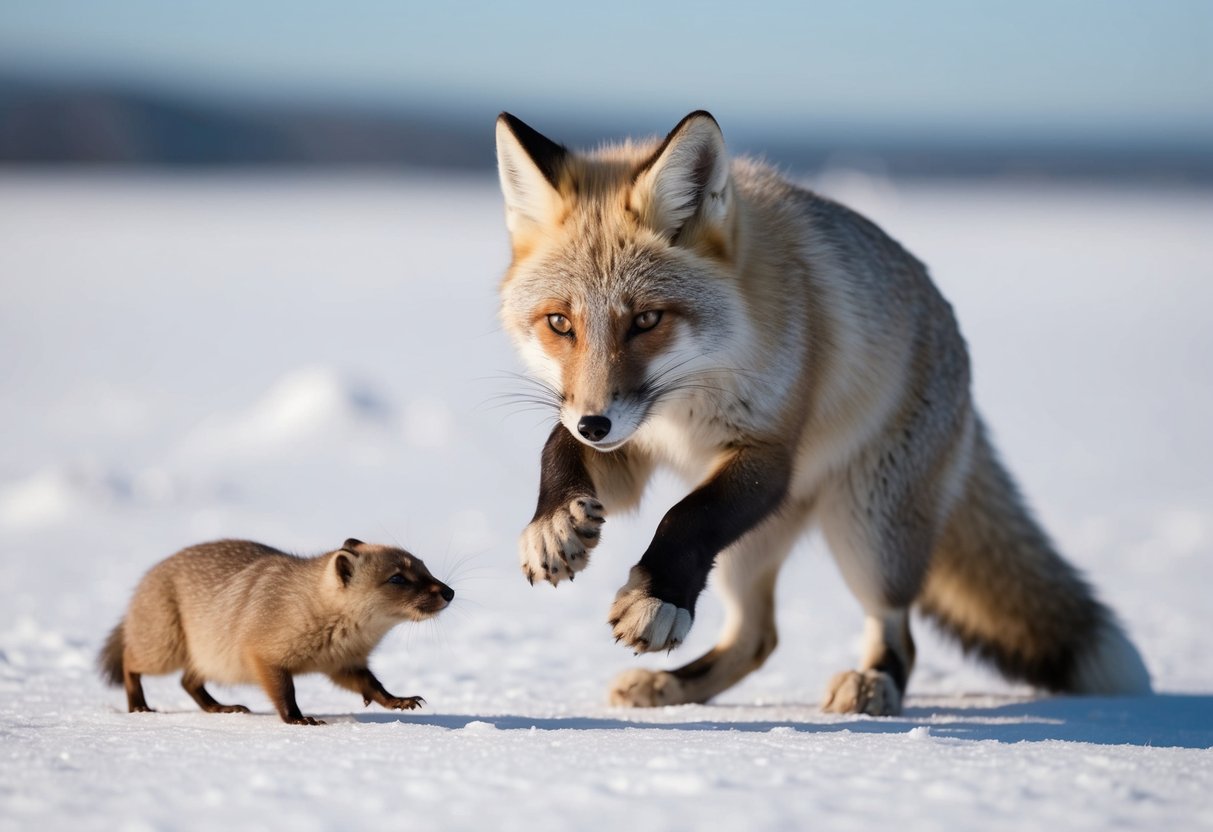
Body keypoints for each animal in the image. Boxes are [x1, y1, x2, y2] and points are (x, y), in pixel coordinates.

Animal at [493, 110, 1152, 714]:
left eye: (648, 320)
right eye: (560, 323)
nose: (595, 423)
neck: (687, 407)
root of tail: (954, 338)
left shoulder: (768, 453)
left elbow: (685, 518)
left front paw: (656, 599)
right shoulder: (630, 441)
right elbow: (556, 448)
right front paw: (553, 525)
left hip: (868, 532)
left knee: (896, 633)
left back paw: (873, 684)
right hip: (754, 548)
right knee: (757, 639)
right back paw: (673, 687)